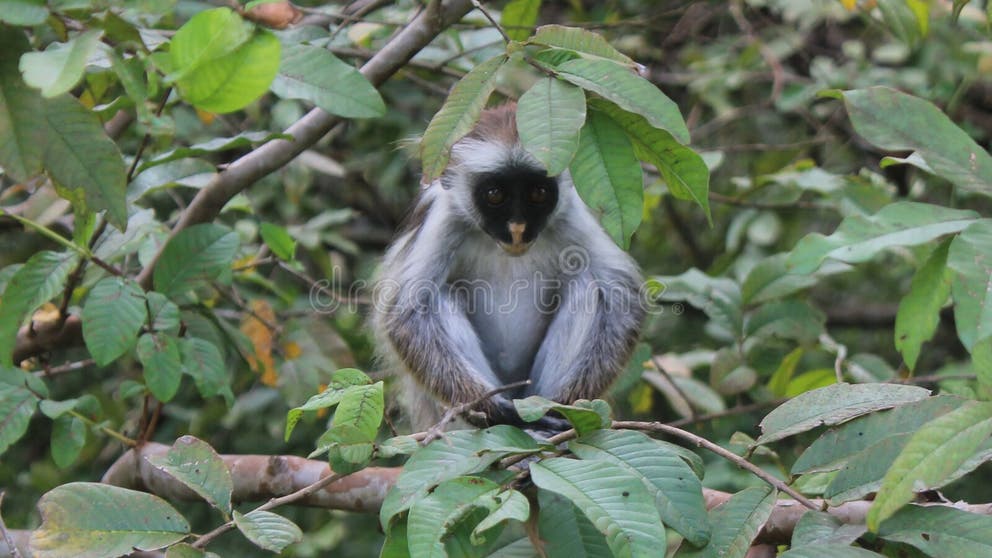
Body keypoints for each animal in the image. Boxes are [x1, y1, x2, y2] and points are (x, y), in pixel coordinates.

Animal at [371, 103, 645, 432]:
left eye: (538, 193)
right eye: (495, 195)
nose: (517, 229)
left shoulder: (570, 215)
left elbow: (625, 299)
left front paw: (560, 410)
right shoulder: (445, 218)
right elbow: (404, 316)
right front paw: (497, 412)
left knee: (588, 285)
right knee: (436, 297)